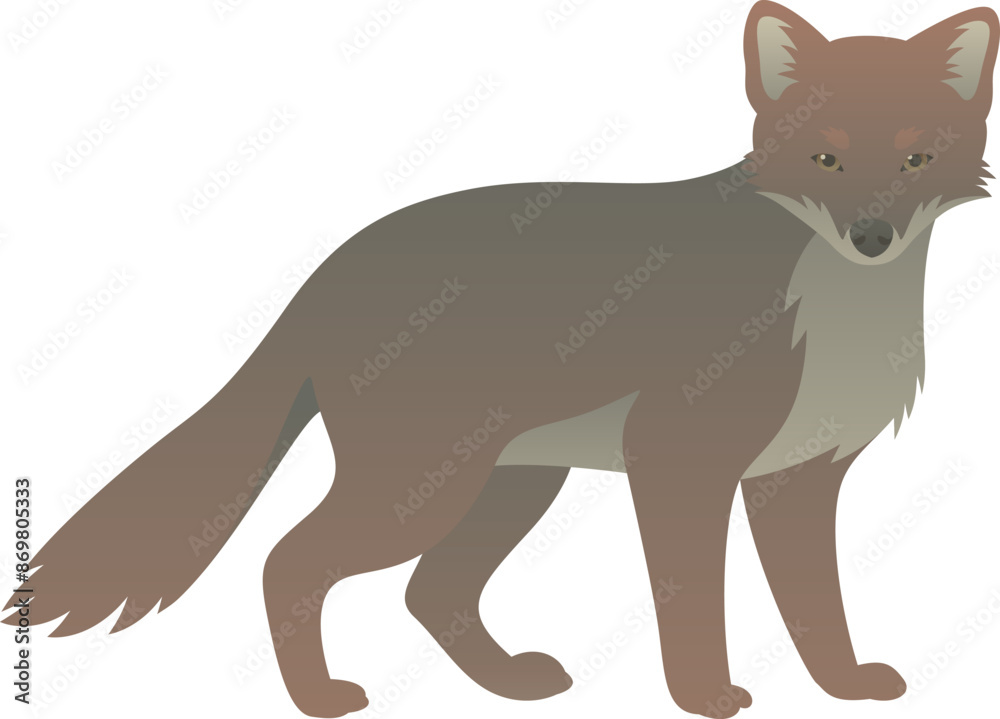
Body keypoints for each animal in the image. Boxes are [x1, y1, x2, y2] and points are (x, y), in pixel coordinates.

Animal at [5, 2, 997, 717]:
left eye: (917, 159)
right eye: (826, 159)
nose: (871, 238)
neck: (836, 309)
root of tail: (328, 267)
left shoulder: (797, 479)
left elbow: (817, 610)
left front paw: (843, 688)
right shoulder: (678, 462)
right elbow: (691, 604)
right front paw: (705, 697)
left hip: (509, 483)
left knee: (427, 591)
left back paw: (510, 684)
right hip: (426, 489)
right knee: (289, 559)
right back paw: (322, 700)